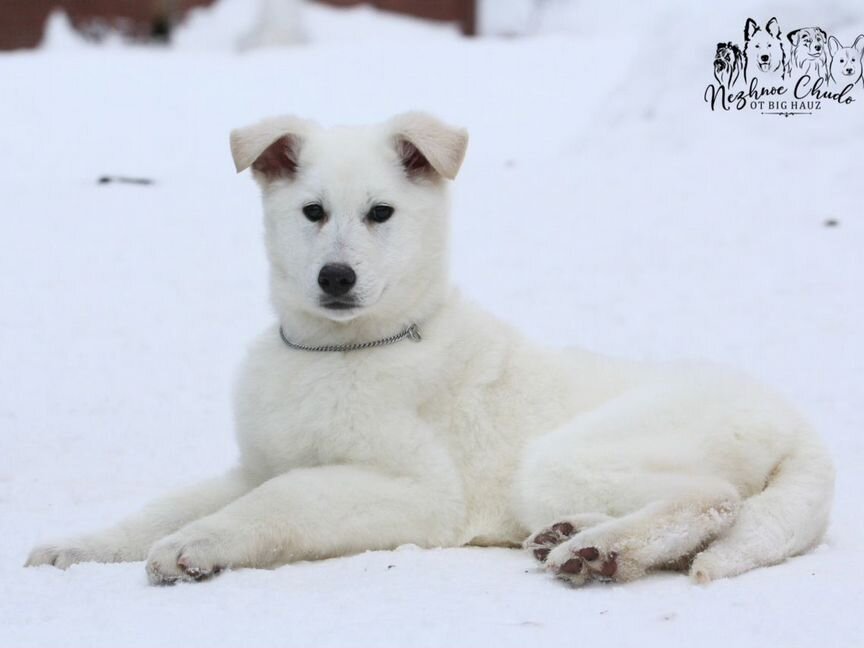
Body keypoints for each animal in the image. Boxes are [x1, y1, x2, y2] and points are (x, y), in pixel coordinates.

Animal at [25, 112, 836, 588]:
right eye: (312, 212)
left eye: (380, 213)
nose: (337, 277)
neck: (337, 353)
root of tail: (800, 423)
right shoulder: (255, 463)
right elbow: (162, 505)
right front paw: (80, 545)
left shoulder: (415, 491)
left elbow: (278, 502)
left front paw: (199, 544)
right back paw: (576, 537)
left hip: (568, 454)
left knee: (714, 499)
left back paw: (601, 551)